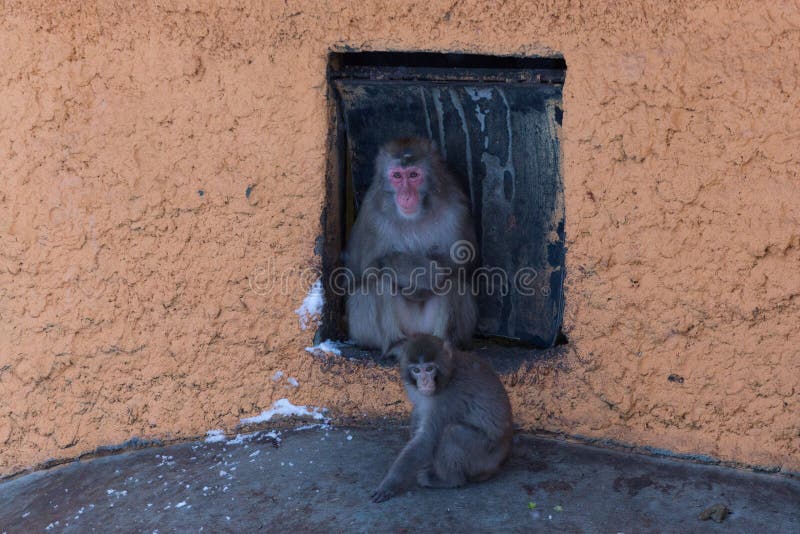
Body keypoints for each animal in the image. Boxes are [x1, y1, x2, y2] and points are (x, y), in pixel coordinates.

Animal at [343, 138, 478, 354]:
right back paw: (395, 344)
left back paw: (444, 346)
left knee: (452, 281)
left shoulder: (457, 210)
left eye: (414, 175)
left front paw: (426, 273)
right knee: (379, 279)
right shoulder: (372, 215)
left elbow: (464, 266)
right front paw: (417, 270)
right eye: (397, 176)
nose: (406, 195)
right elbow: (365, 270)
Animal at [371, 334, 513, 503]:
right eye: (416, 370)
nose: (424, 382)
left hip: (485, 456)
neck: (449, 374)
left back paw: (450, 481)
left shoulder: (448, 398)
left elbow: (427, 439)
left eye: (429, 369)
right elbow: (418, 412)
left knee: (451, 433)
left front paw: (389, 483)